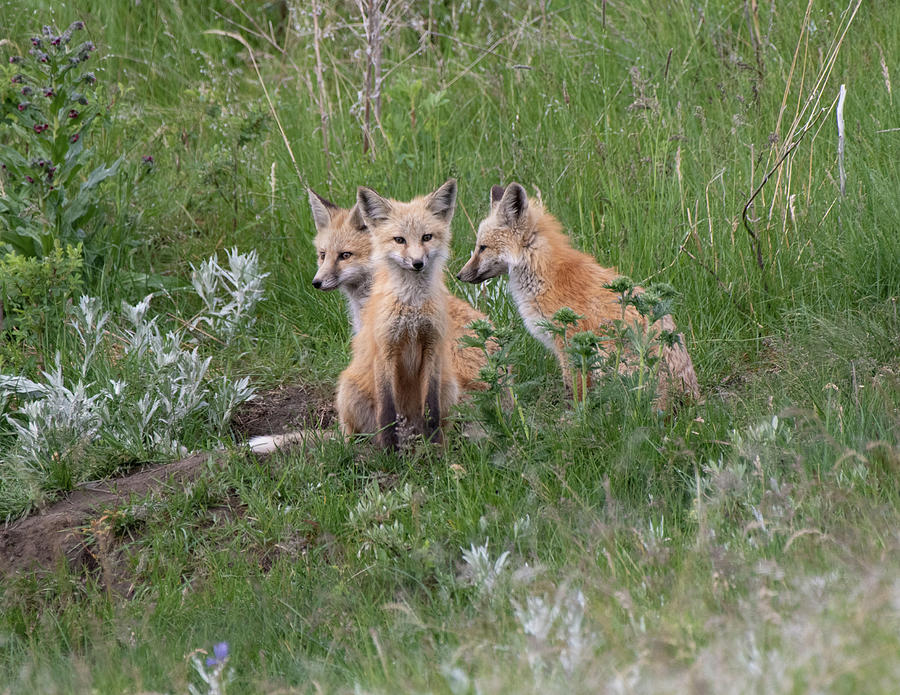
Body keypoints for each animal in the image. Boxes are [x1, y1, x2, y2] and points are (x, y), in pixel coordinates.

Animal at [337, 179, 460, 449]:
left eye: (426, 237)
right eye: (399, 240)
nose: (417, 263)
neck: (412, 307)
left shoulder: (432, 346)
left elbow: (432, 411)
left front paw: (436, 450)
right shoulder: (385, 350)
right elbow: (387, 413)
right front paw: (389, 452)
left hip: (450, 387)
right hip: (348, 390)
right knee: (352, 431)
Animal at [456, 182, 700, 406]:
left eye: (482, 247)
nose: (459, 275)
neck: (544, 275)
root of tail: (688, 401)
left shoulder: (569, 342)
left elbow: (575, 390)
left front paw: (576, 419)